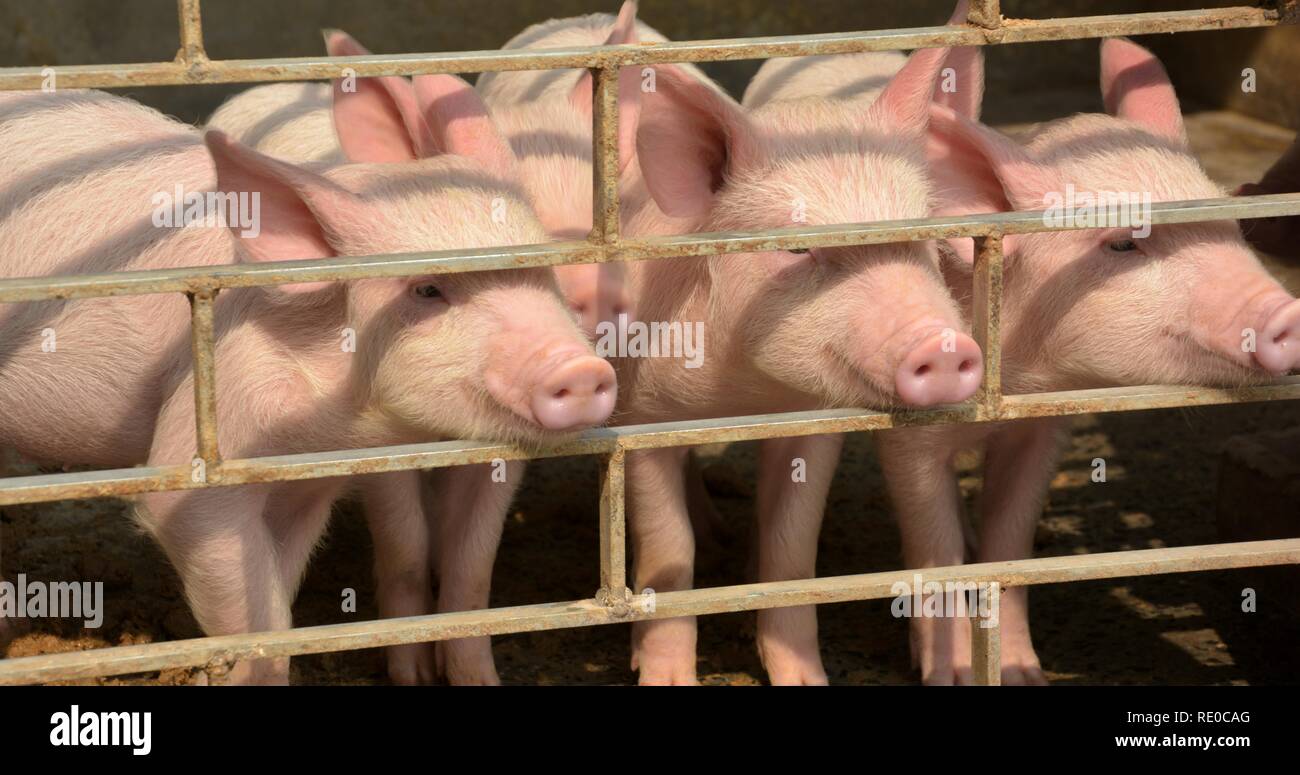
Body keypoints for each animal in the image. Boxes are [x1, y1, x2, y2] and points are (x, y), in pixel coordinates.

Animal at [0, 78, 615, 684]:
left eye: (543, 270)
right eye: (427, 290)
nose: (581, 368)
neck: (330, 429)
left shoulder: (307, 483)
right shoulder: (203, 443)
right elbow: (261, 623)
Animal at [618, 42, 985, 685]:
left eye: (924, 235)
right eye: (795, 247)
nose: (942, 345)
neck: (743, 397)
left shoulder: (814, 424)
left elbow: (791, 549)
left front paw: (805, 676)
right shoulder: (642, 419)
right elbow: (670, 550)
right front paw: (663, 674)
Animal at [751, 34, 1300, 684]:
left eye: (1233, 224)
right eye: (1122, 243)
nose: (1286, 312)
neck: (1016, 378)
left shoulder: (1045, 426)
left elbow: (1011, 544)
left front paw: (1020, 672)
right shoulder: (910, 431)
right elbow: (934, 546)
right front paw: (954, 675)